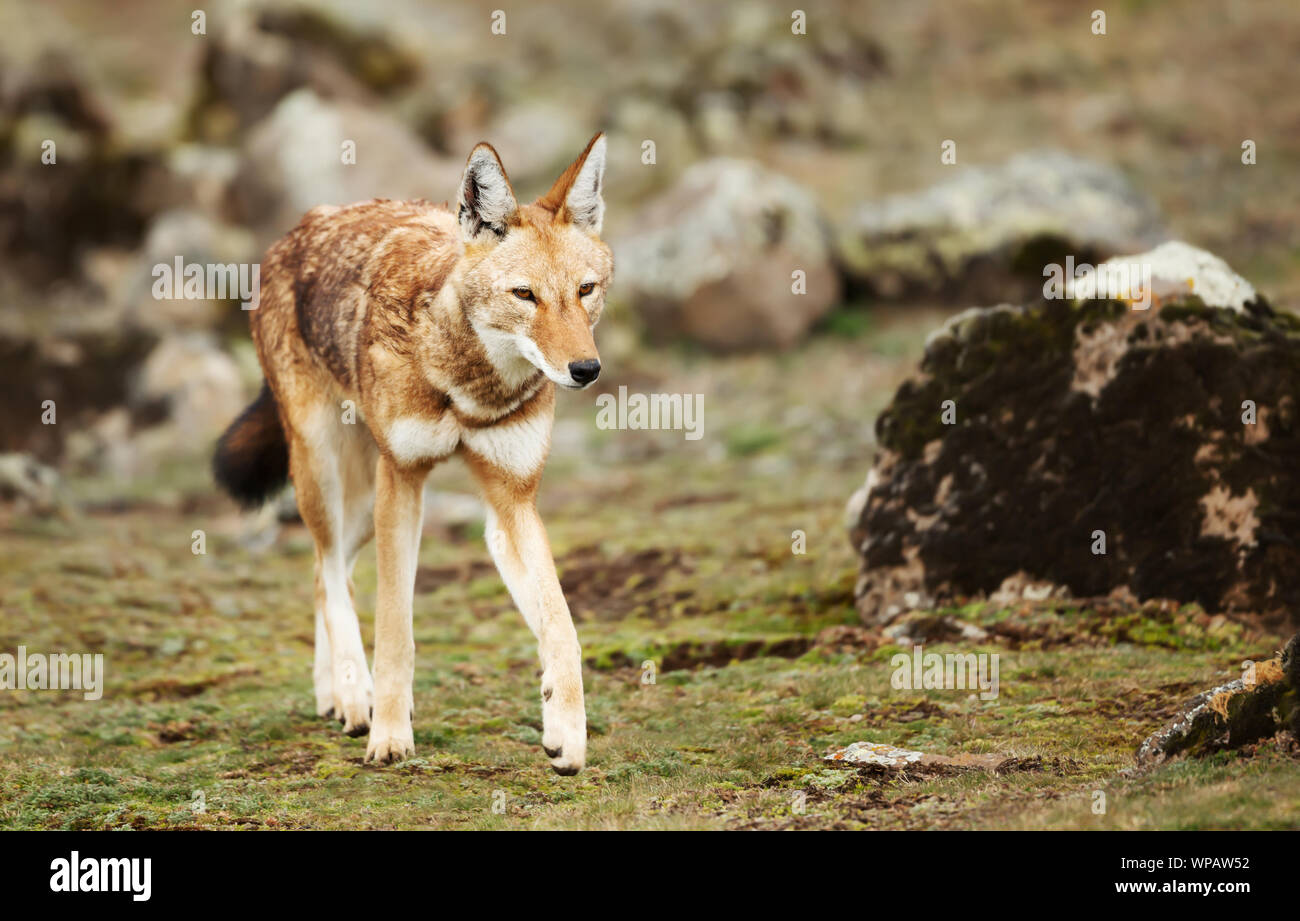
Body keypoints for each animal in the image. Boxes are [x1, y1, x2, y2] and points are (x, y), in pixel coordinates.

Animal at [212, 134, 611, 775]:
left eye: (585, 290)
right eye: (525, 295)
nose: (586, 369)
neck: (469, 385)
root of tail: (300, 226)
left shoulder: (511, 502)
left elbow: (562, 626)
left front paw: (566, 732)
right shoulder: (403, 479)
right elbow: (396, 629)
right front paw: (390, 737)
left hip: (360, 502)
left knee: (325, 575)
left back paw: (332, 693)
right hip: (326, 472)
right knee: (329, 570)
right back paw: (355, 698)